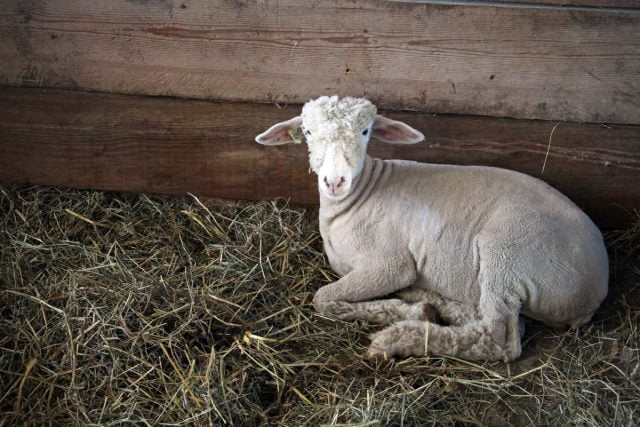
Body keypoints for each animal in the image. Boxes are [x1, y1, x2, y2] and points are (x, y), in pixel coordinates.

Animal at [255, 96, 608, 362]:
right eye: (307, 131)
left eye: (366, 131)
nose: (334, 181)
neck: (360, 195)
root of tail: (596, 288)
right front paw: (411, 306)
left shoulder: (389, 265)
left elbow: (322, 298)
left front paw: (398, 312)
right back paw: (434, 303)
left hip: (508, 252)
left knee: (500, 338)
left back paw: (401, 337)